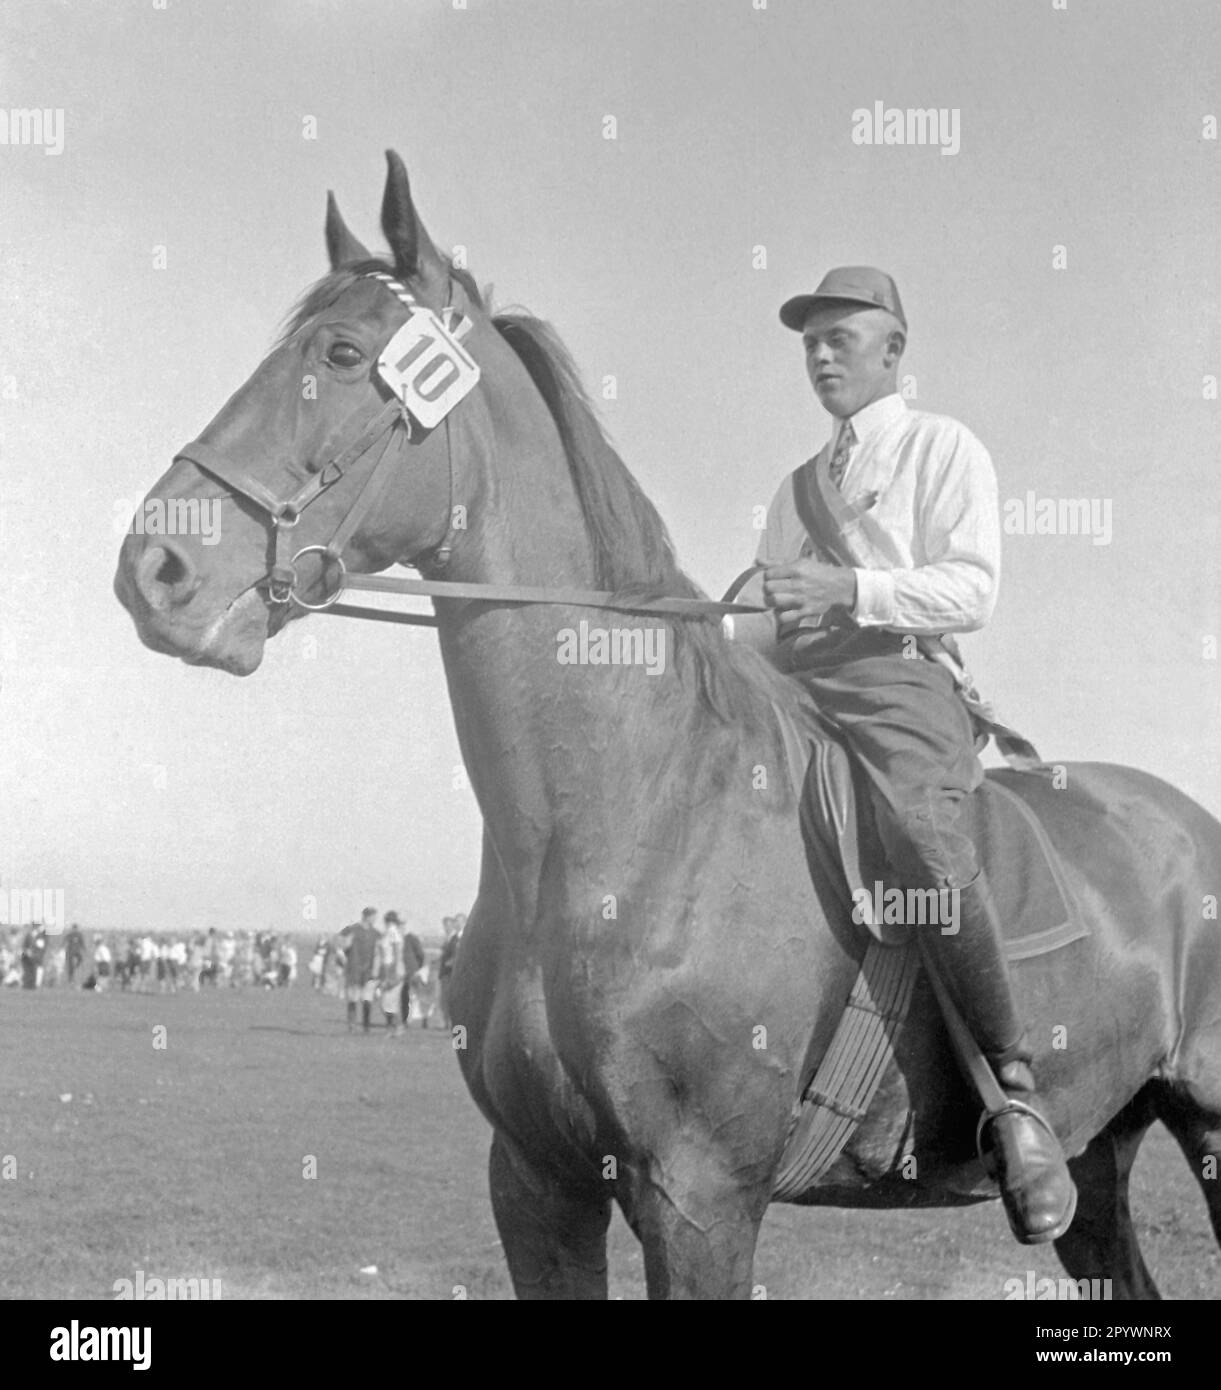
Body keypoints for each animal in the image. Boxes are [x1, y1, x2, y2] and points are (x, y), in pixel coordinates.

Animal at [114, 151, 1221, 1299]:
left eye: (339, 354)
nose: (156, 568)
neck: (622, 817)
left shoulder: (699, 1201)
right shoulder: (536, 1184)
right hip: (1101, 1144)